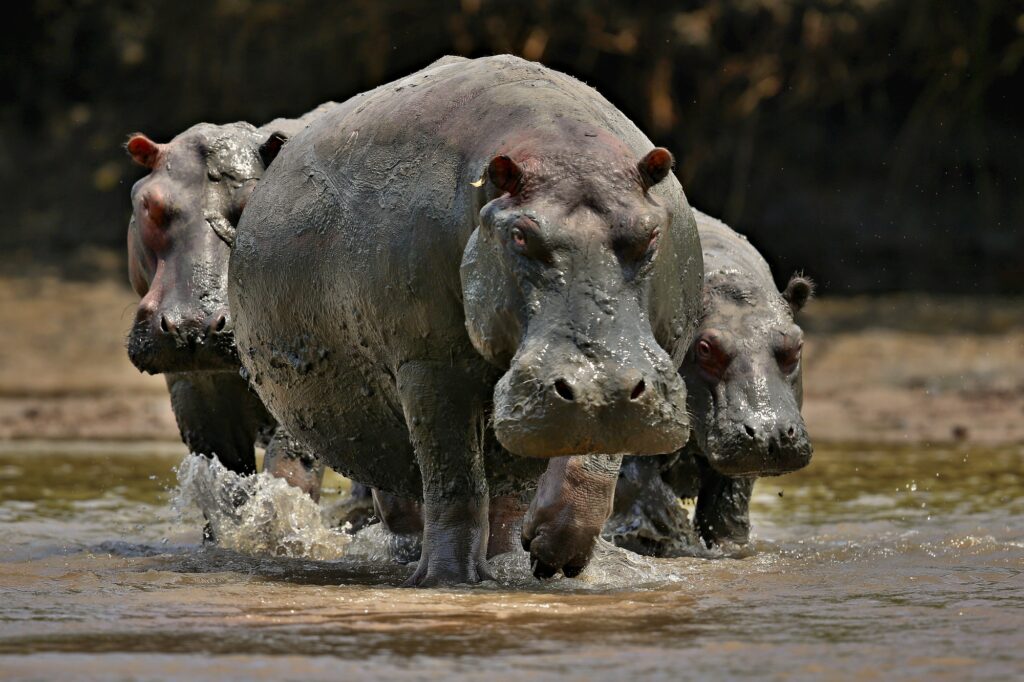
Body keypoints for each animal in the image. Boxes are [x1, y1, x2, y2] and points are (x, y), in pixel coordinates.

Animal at [124, 105, 333, 504]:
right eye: (149, 203)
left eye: (257, 200)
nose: (192, 324)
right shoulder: (198, 396)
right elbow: (226, 486)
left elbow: (290, 474)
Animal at [228, 55, 704, 585]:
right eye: (520, 235)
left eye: (651, 232)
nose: (600, 388)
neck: (564, 150)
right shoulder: (428, 365)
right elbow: (454, 479)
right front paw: (448, 581)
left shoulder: (629, 375)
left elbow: (593, 459)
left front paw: (552, 555)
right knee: (422, 489)